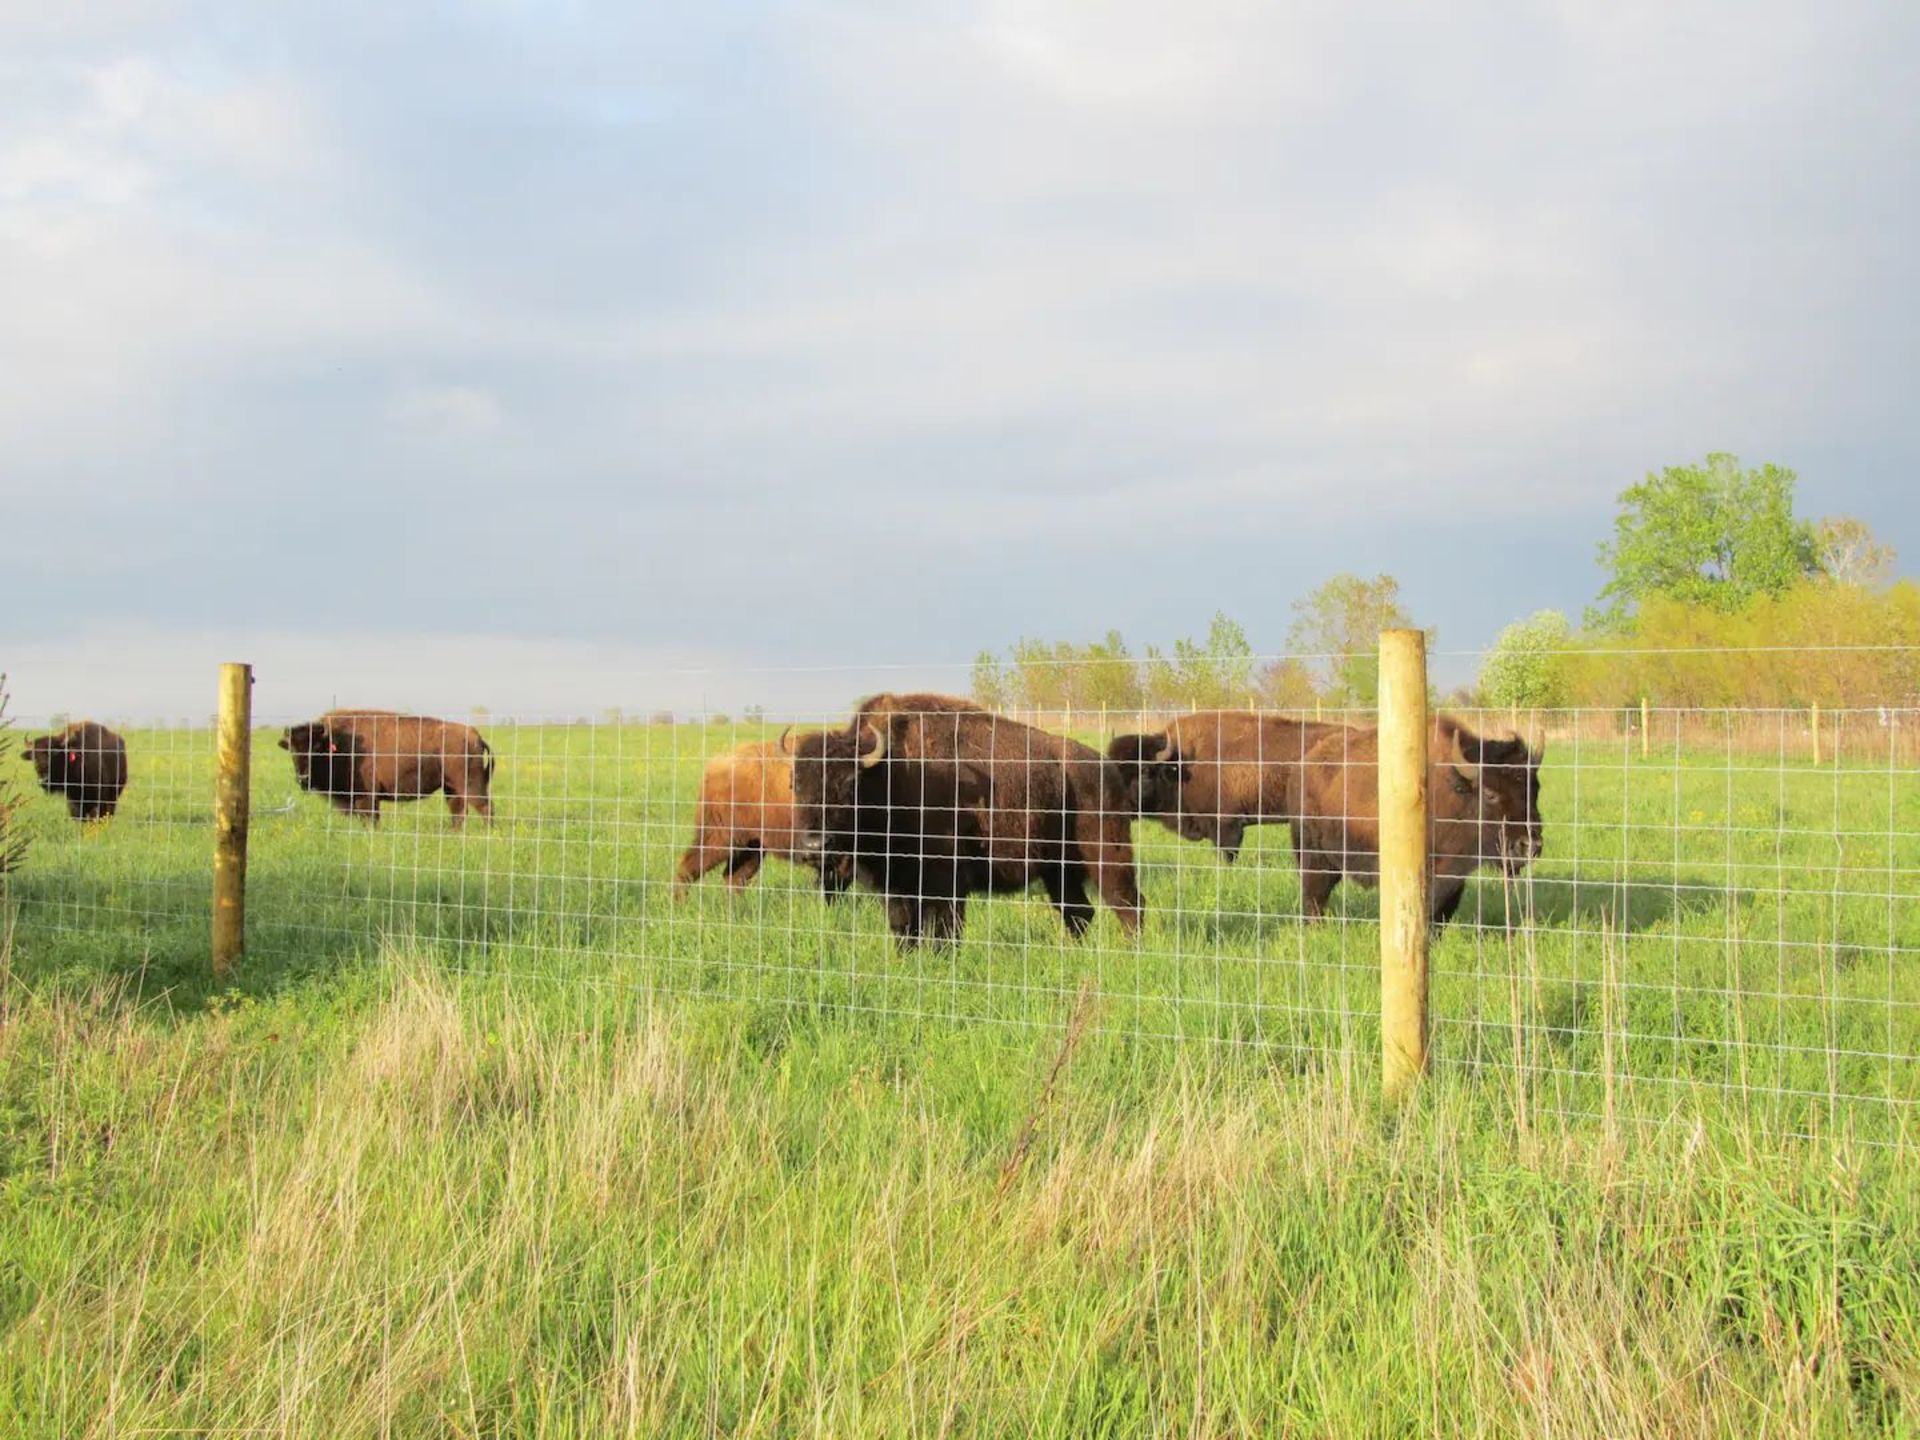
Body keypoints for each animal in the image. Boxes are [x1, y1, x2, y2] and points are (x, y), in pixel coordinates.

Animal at [280, 709, 494, 829]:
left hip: (471, 785)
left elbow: (372, 820)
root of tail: (475, 735)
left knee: (485, 808)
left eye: (316, 748)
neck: (337, 742)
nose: (303, 779)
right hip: (452, 788)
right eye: (292, 749)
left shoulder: (367, 797)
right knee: (459, 812)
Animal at [674, 732, 853, 898]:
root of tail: (715, 766)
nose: (816, 843)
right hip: (720, 838)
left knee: (734, 877)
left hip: (752, 845)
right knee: (688, 868)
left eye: (846, 785)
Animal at [789, 692, 1144, 946]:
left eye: (850, 784)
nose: (815, 845)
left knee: (1129, 906)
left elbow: (944, 930)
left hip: (1108, 859)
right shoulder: (897, 885)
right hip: (1058, 870)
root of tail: (1107, 769)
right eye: (796, 784)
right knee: (1078, 912)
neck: (890, 773)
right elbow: (904, 928)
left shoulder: (945, 882)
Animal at [1292, 715, 1543, 926]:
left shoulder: (1455, 876)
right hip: (1315, 854)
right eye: (1490, 793)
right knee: (1314, 892)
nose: (1529, 845)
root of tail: (1307, 762)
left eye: (1535, 789)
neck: (1457, 791)